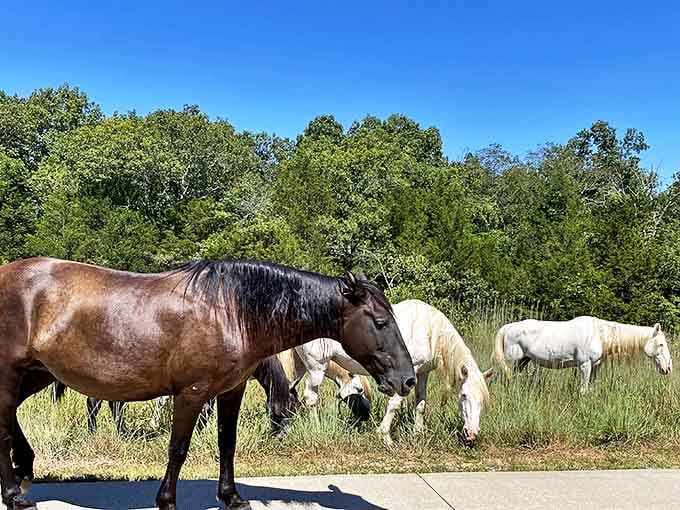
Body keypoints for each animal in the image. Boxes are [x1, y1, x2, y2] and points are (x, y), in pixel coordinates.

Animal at [51, 354, 301, 438]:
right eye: (290, 408)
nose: (282, 436)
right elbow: (206, 411)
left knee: (112, 405)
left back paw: (122, 433)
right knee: (97, 403)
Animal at [292, 299, 491, 444]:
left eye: (482, 400)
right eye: (464, 395)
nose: (472, 433)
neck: (429, 330)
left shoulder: (423, 373)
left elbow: (421, 404)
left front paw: (418, 434)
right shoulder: (409, 374)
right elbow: (395, 404)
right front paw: (385, 437)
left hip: (300, 367)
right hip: (317, 367)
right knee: (311, 397)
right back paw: (317, 429)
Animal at [492, 316, 673, 393]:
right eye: (661, 344)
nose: (668, 368)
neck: (599, 334)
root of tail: (508, 327)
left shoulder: (595, 366)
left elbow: (590, 388)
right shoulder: (584, 365)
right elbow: (584, 390)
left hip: (523, 361)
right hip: (510, 361)